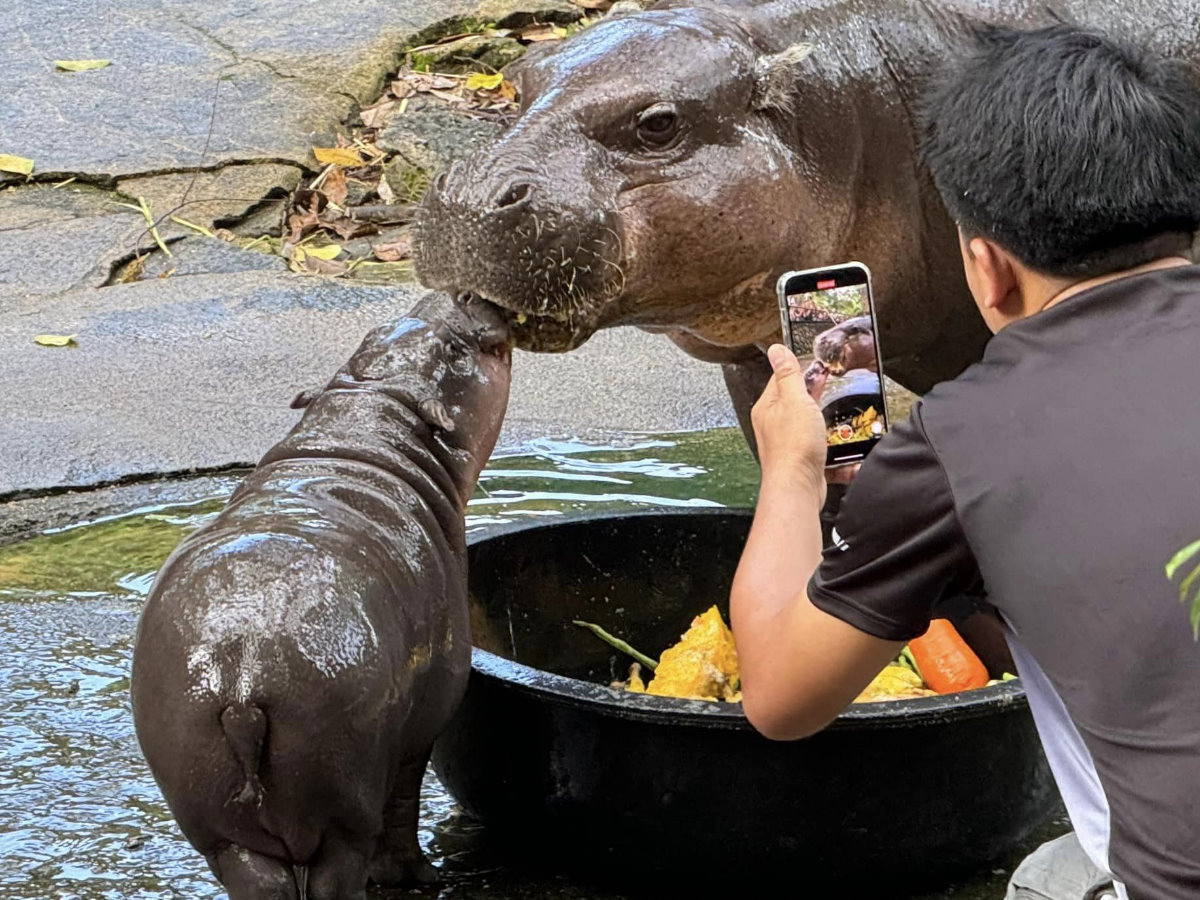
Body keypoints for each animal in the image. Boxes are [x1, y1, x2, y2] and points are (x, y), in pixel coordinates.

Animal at [130, 292, 510, 899]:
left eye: (377, 330)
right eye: (454, 350)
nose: (460, 292)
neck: (368, 418)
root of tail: (243, 681)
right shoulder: (422, 727)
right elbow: (403, 806)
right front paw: (419, 877)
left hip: (217, 824)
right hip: (341, 814)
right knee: (345, 866)